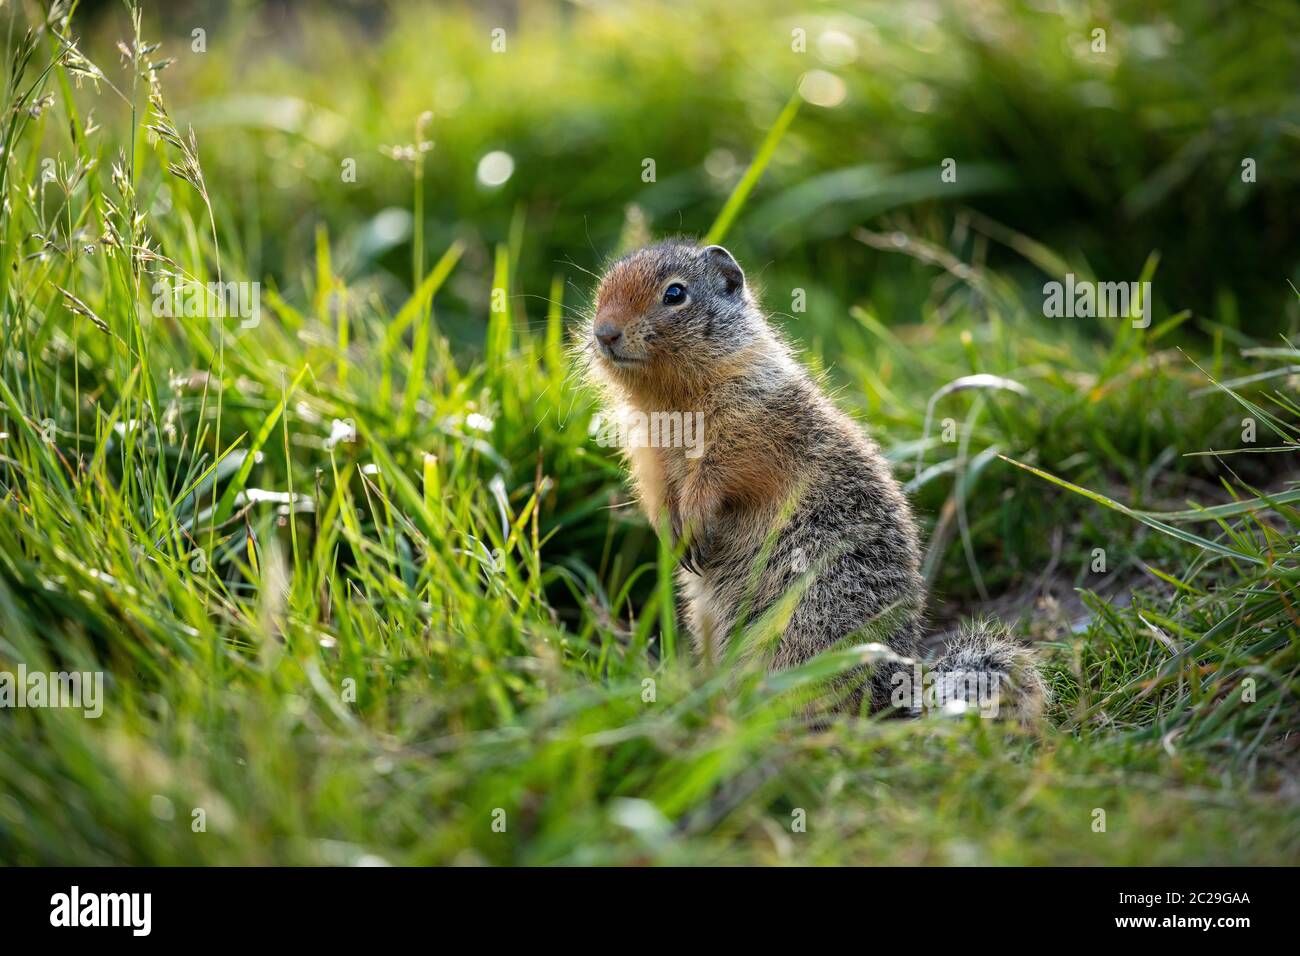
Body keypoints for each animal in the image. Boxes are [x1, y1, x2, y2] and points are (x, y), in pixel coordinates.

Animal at [584, 239, 1047, 720]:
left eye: (675, 294)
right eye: (602, 289)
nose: (604, 333)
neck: (667, 401)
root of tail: (900, 679)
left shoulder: (747, 425)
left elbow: (719, 473)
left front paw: (694, 519)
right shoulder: (645, 455)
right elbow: (654, 492)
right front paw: (670, 533)